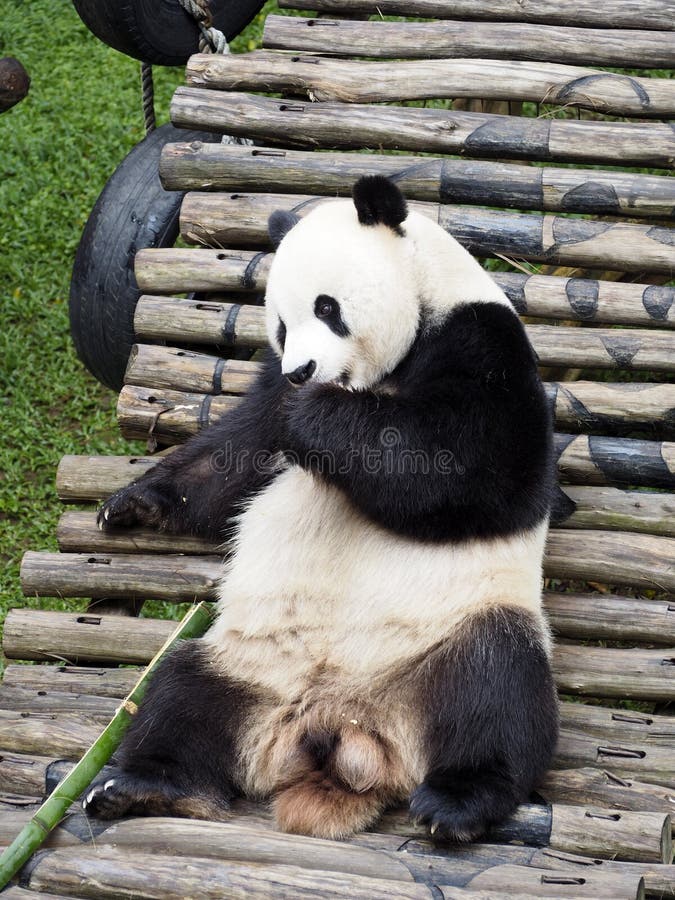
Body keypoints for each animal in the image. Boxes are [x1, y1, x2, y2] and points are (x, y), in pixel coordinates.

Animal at [83, 175, 562, 843]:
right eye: (282, 326)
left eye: (328, 308)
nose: (302, 370)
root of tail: (343, 730)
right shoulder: (267, 386)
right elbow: (233, 456)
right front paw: (132, 504)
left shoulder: (485, 345)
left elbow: (474, 468)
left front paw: (316, 415)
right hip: (248, 661)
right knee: (182, 694)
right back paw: (142, 785)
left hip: (456, 628)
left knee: (496, 687)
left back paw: (457, 803)